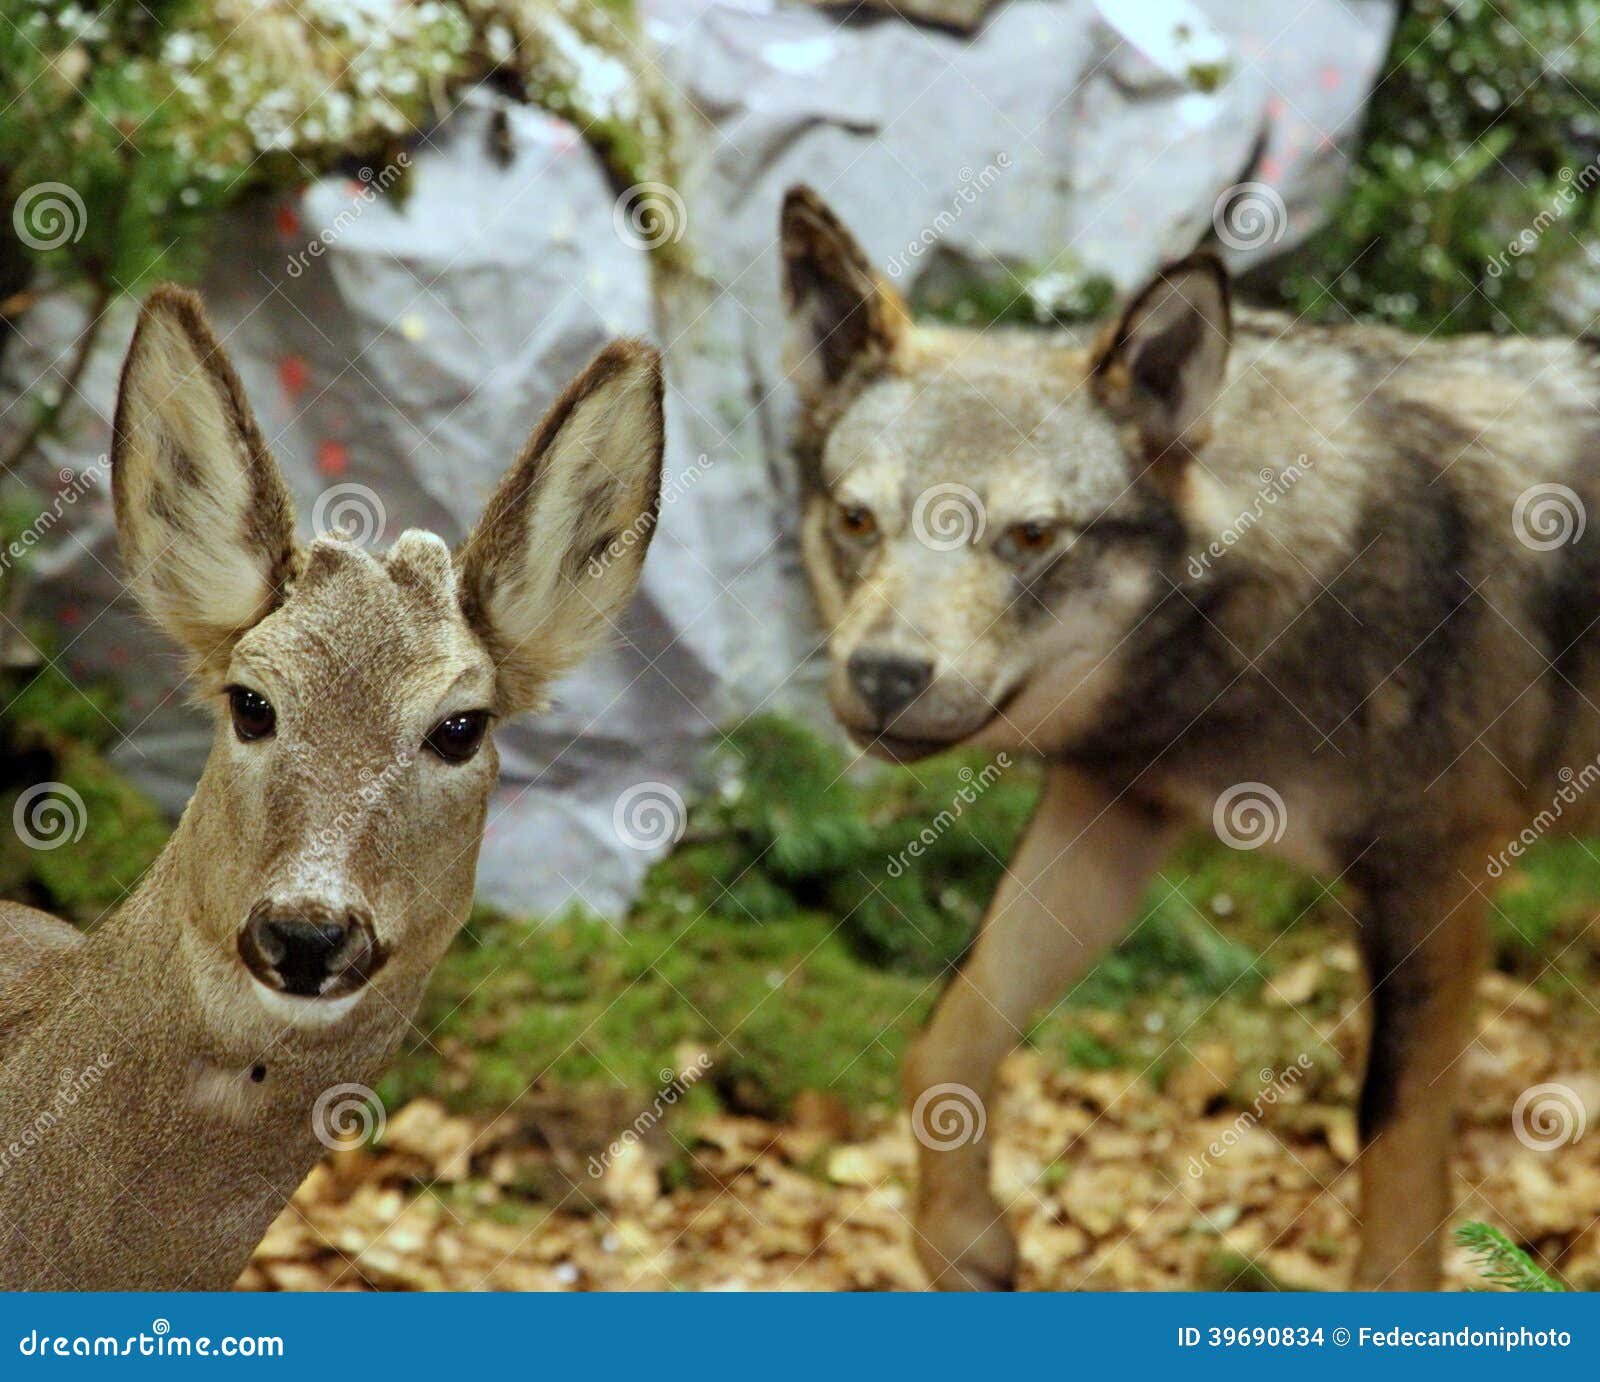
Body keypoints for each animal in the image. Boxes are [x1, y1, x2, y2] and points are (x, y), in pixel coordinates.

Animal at [780, 184, 1600, 1290]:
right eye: (858, 520)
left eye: (1031, 537)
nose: (884, 674)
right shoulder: (1109, 813)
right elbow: (945, 1039)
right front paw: (962, 1241)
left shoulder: (1433, 880)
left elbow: (1392, 1153)